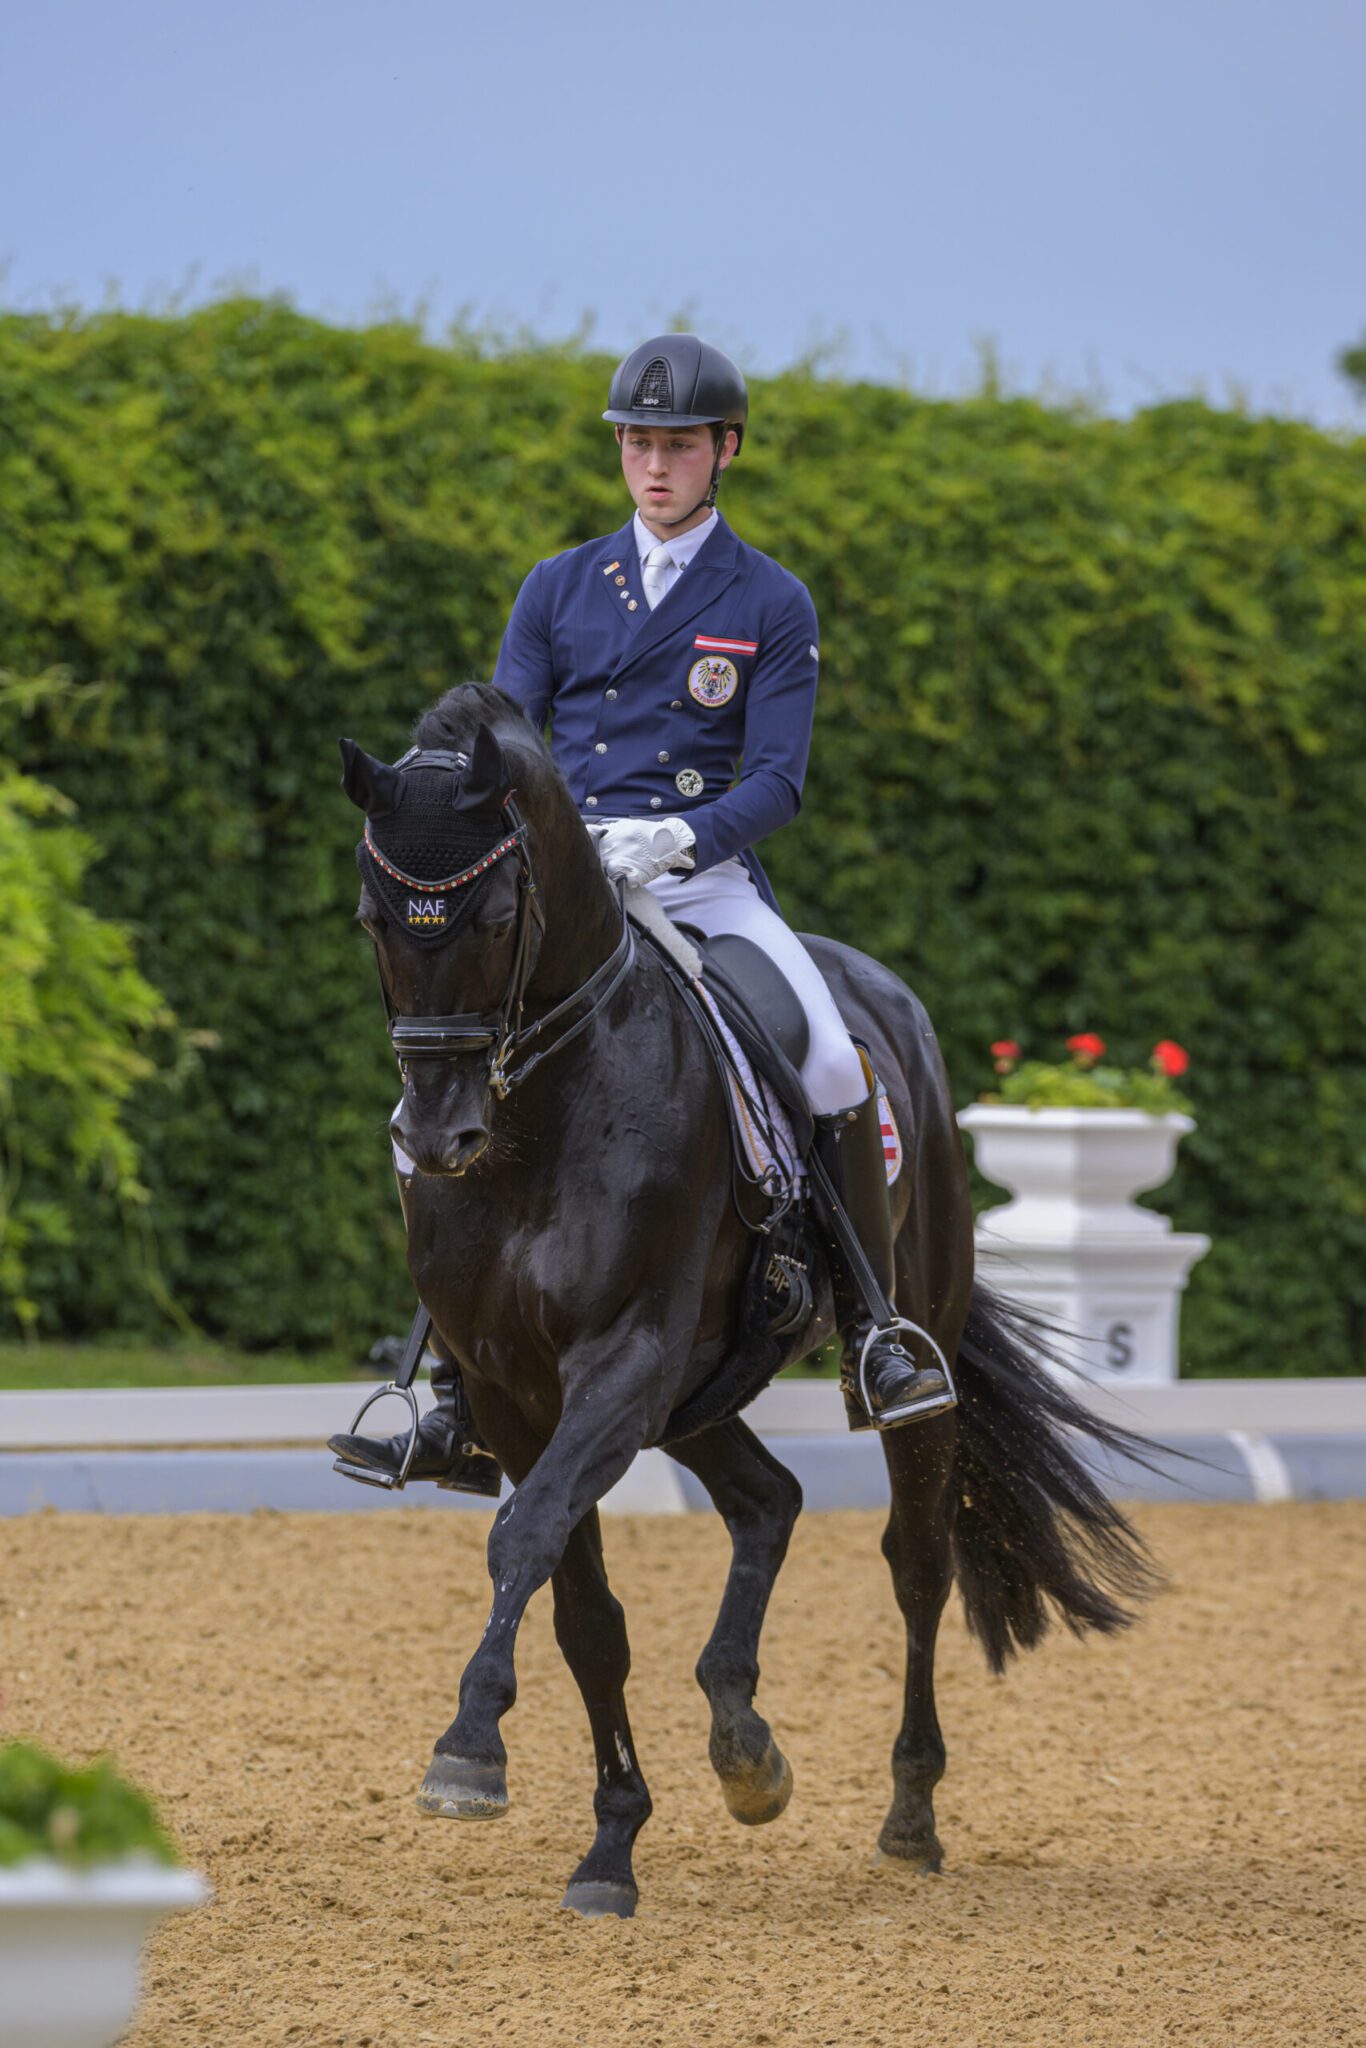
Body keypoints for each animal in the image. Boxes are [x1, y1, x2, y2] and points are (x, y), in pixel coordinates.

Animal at [338, 680, 1154, 1920]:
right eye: (375, 920)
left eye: (491, 918)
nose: (435, 1139)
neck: (543, 1117)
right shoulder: (515, 1387)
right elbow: (582, 1609)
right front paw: (610, 1841)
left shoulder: (622, 1358)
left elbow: (526, 1535)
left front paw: (469, 1746)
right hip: (697, 1387)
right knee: (768, 1498)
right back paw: (743, 1743)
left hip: (894, 1346)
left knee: (916, 1562)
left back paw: (908, 1814)